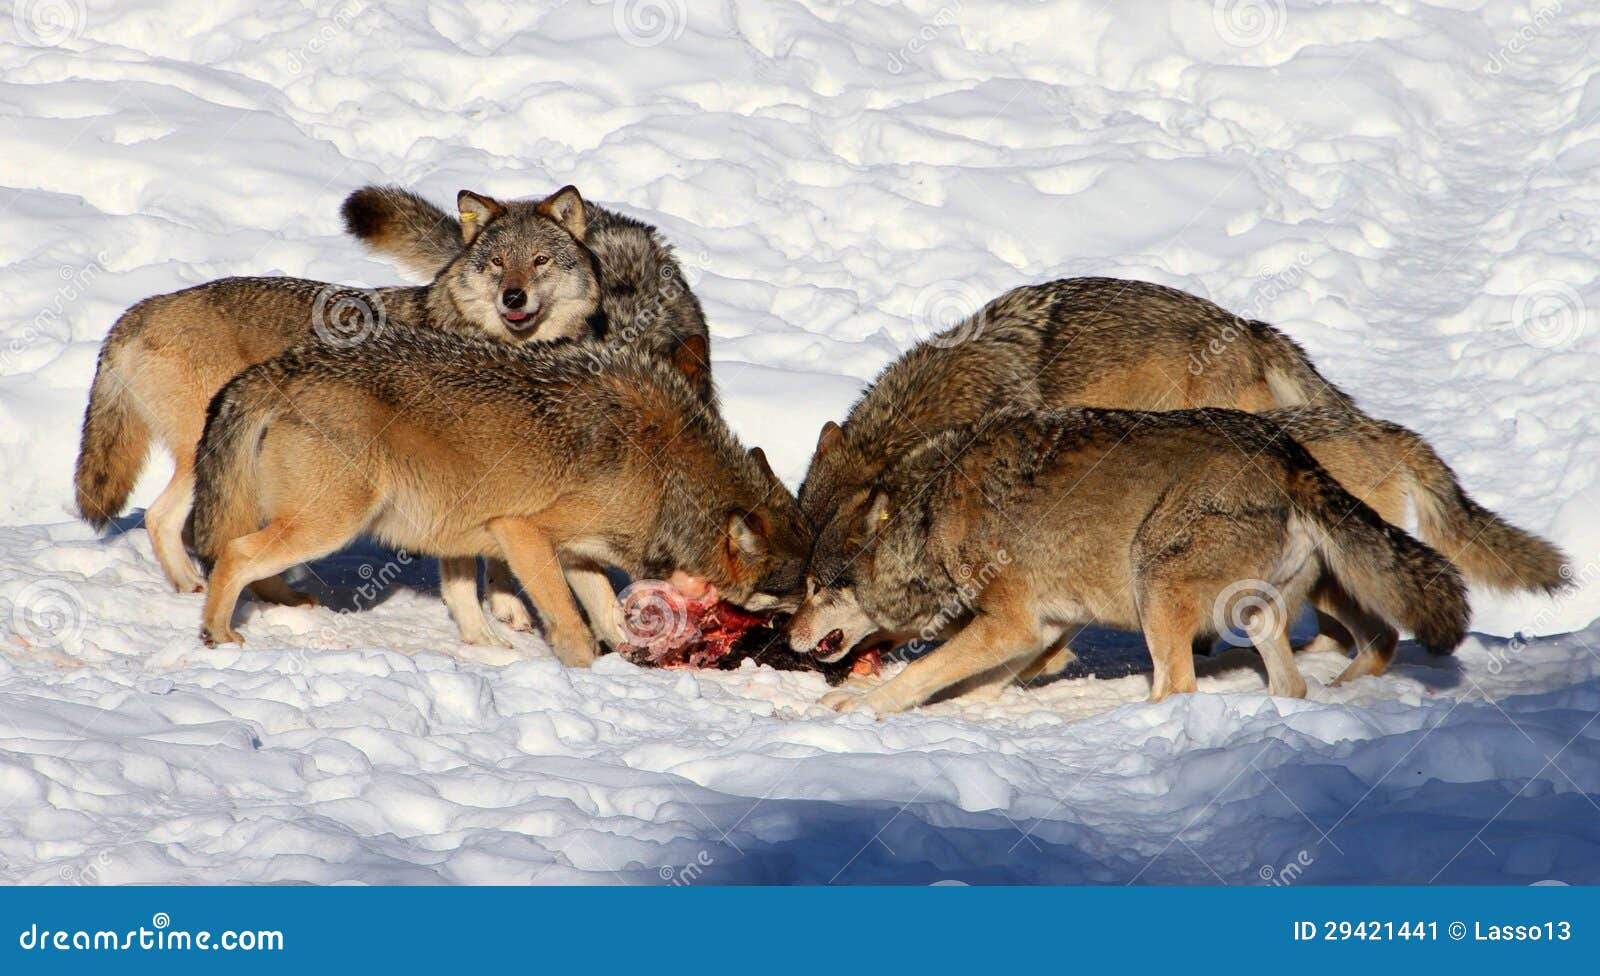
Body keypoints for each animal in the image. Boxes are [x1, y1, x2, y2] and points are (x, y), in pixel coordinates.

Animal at [73, 186, 601, 643]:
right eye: (497, 263)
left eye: (539, 261)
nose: (513, 297)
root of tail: (141, 310)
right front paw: (501, 619)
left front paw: (506, 610)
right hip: (214, 463)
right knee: (165, 520)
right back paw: (198, 589)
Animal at [190, 330, 808, 665]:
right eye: (795, 592)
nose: (803, 639)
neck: (666, 474)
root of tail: (277, 369)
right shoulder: (521, 530)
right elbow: (571, 624)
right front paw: (584, 672)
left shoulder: (578, 552)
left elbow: (607, 614)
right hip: (331, 526)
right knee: (236, 555)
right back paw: (217, 633)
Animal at [786, 408, 1470, 713]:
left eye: (819, 586)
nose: (787, 635)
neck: (931, 518)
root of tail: (1289, 455)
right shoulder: (1043, 630)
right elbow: (969, 684)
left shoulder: (1013, 626)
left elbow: (923, 671)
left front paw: (854, 708)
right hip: (1250, 614)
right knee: (1290, 683)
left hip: (1154, 584)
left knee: (1178, 685)